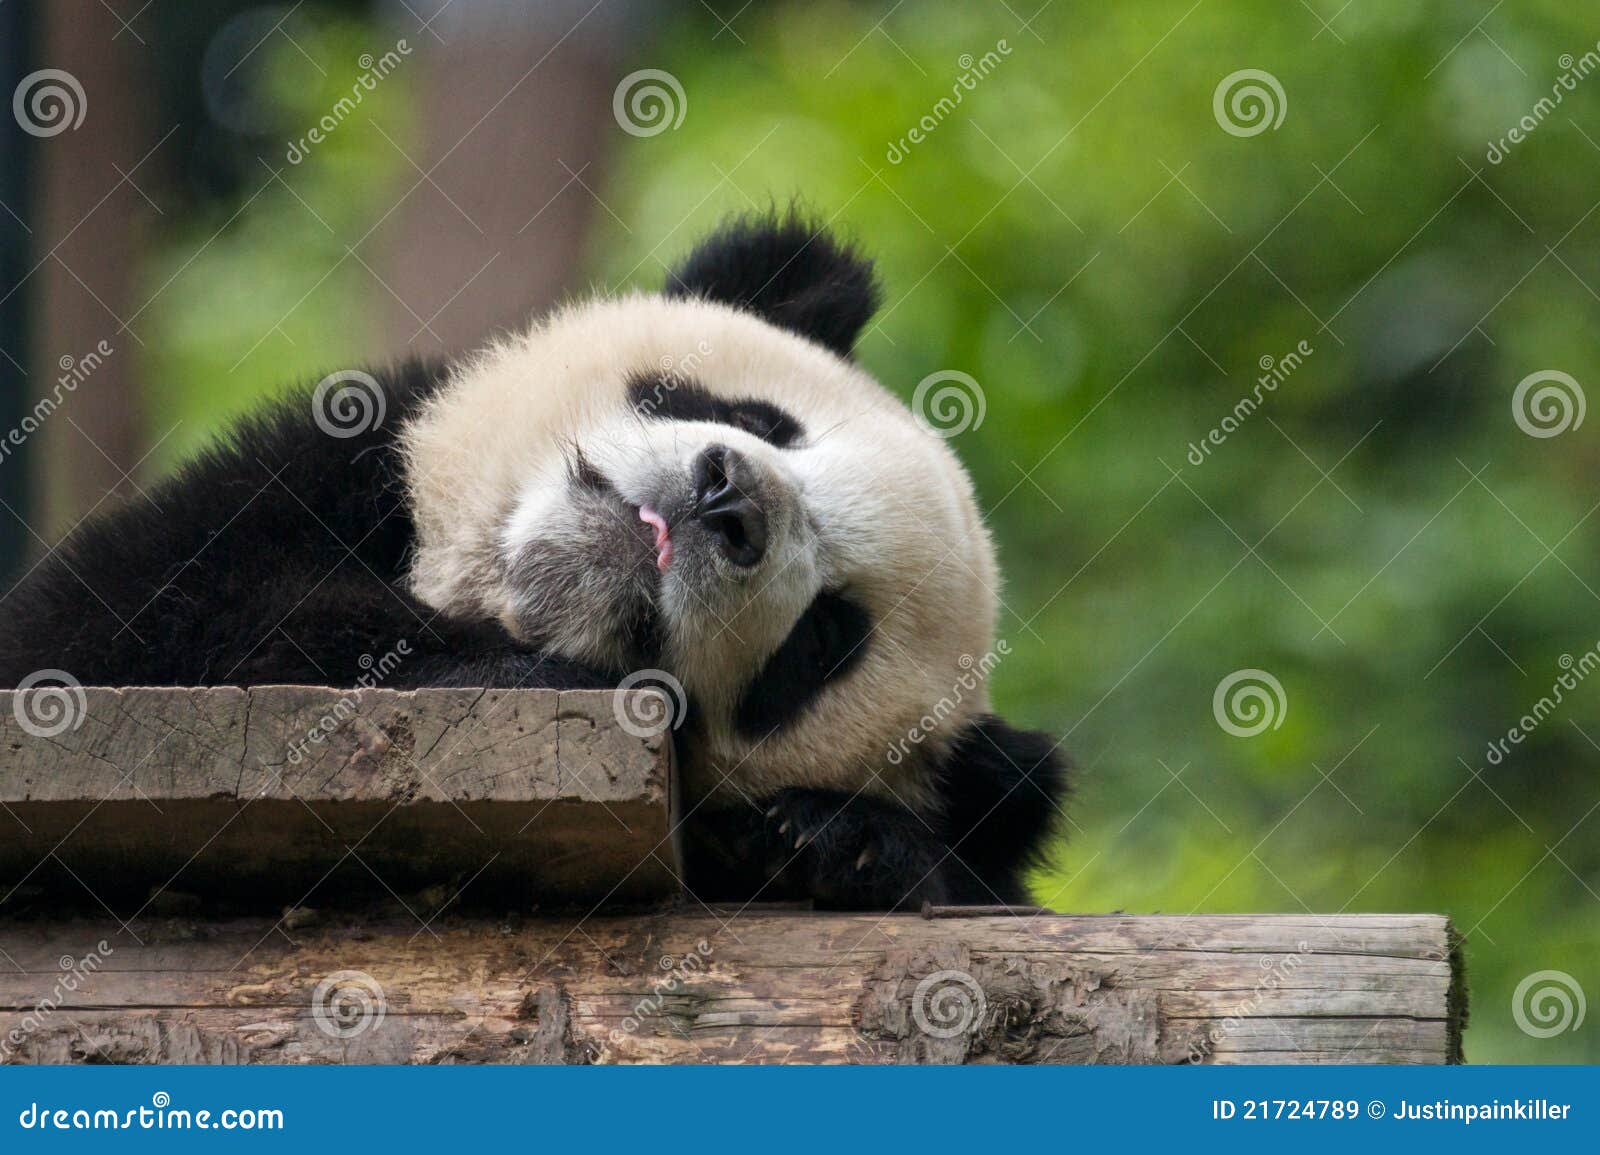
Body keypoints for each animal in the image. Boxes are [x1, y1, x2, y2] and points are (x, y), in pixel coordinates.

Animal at [0, 213, 1068, 911]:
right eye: (767, 423)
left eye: (819, 643)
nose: (729, 502)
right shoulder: (301, 482)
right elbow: (137, 627)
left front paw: (842, 841)